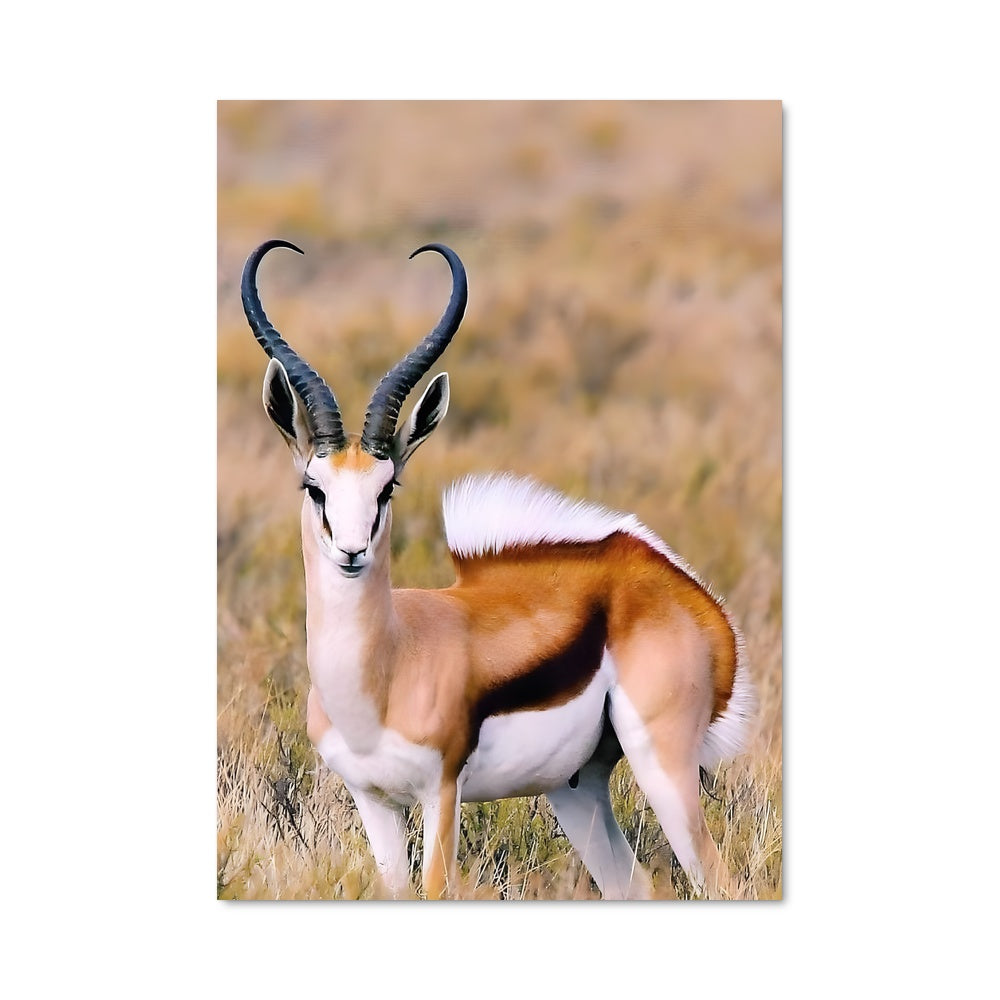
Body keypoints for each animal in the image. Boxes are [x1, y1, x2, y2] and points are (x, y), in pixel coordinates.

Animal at [240, 238, 755, 900]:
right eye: (314, 487)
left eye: (388, 486)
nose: (351, 552)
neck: (384, 674)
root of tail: (666, 577)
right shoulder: (372, 800)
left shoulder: (440, 792)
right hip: (577, 788)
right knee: (634, 885)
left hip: (661, 766)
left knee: (719, 879)